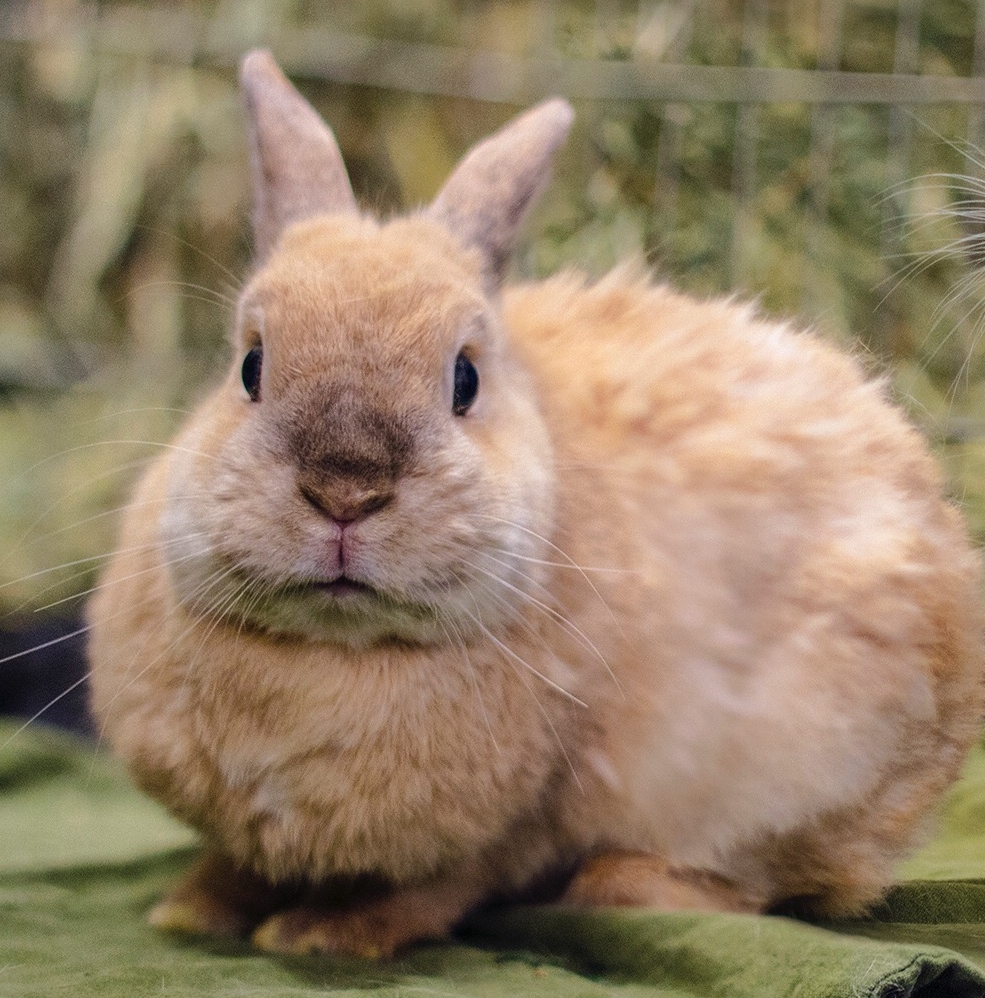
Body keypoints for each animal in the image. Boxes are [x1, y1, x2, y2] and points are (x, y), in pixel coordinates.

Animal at [86, 48, 985, 959]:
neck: (339, 651)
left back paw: (622, 888)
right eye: (250, 367)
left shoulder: (522, 818)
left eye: (464, 380)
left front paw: (323, 934)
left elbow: (437, 886)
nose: (345, 490)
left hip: (798, 768)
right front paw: (192, 909)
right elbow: (242, 867)